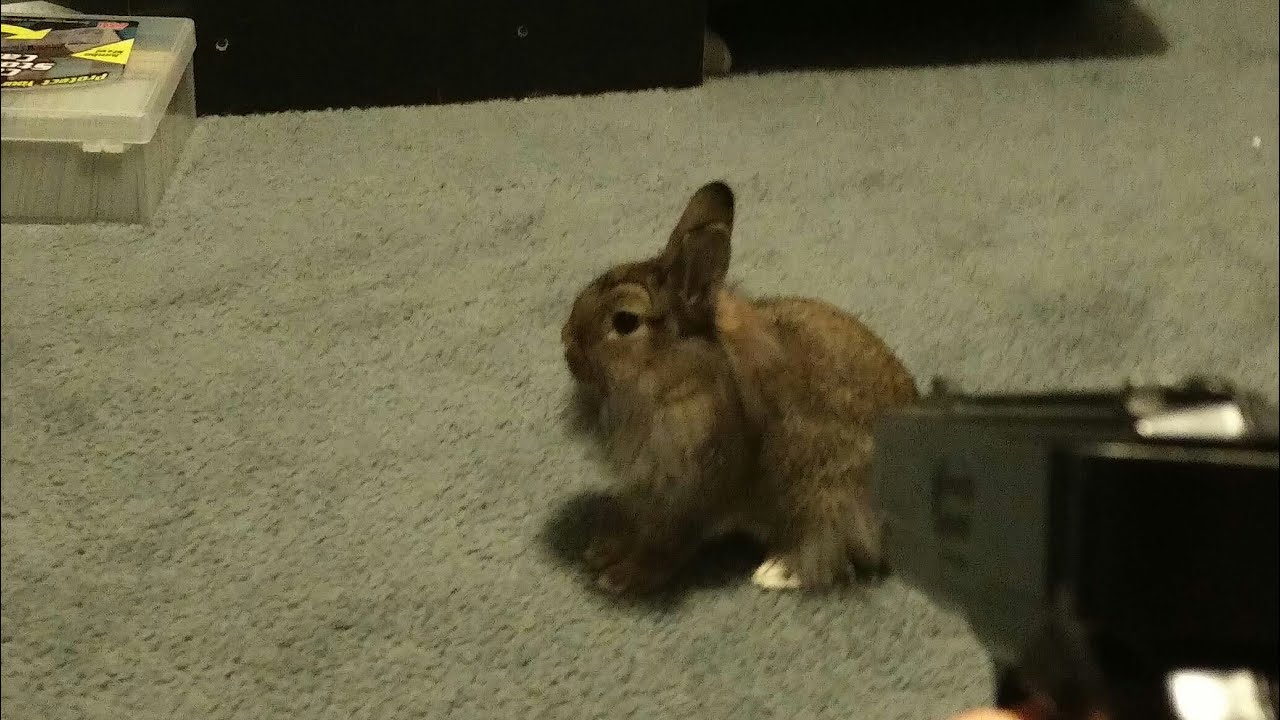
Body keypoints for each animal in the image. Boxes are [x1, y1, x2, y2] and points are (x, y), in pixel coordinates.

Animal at [560, 181, 918, 595]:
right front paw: (604, 549)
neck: (675, 375)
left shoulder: (694, 490)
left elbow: (668, 542)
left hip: (828, 493)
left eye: (625, 322)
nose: (566, 343)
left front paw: (623, 575)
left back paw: (774, 571)